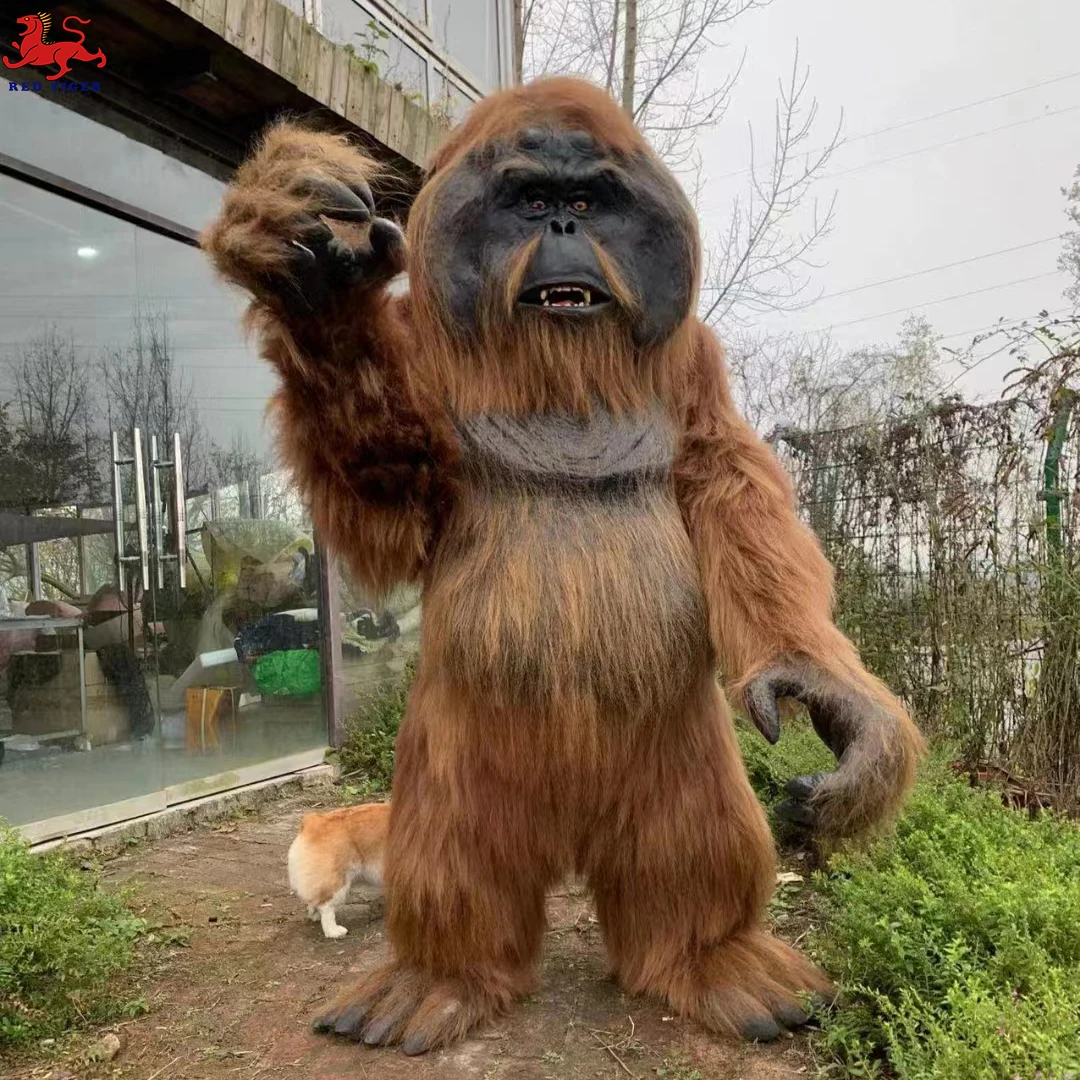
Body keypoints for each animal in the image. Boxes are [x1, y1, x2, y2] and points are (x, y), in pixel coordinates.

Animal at [201, 76, 924, 1056]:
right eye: (530, 201)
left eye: (587, 202)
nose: (563, 228)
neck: (562, 376)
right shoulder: (418, 360)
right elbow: (391, 491)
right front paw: (306, 275)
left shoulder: (698, 370)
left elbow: (735, 500)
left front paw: (837, 705)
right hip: (453, 757)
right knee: (451, 855)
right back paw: (440, 982)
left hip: (680, 758)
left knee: (695, 841)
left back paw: (715, 965)